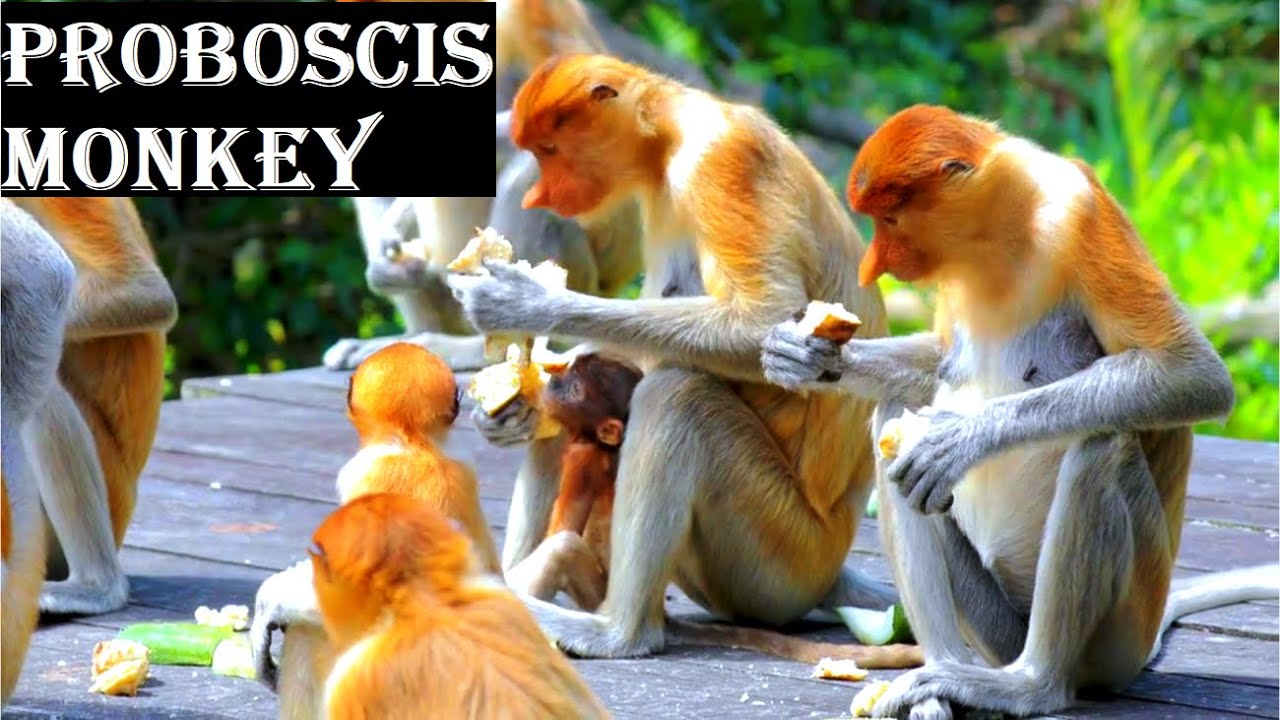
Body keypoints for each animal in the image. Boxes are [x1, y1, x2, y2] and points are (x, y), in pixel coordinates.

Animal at [446, 53, 927, 669]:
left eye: (549, 150)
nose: (539, 195)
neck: (670, 131)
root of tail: (828, 568)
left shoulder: (723, 160)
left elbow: (767, 316)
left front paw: (522, 301)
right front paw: (513, 412)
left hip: (780, 558)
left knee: (678, 396)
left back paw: (615, 633)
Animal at [757, 103, 1280, 718]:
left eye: (889, 219)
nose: (871, 265)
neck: (1000, 230)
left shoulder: (1081, 215)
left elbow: (1193, 373)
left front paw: (961, 440)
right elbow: (939, 361)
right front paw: (804, 355)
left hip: (1121, 632)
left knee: (1101, 446)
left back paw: (1028, 685)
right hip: (998, 626)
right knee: (891, 424)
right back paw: (939, 680)